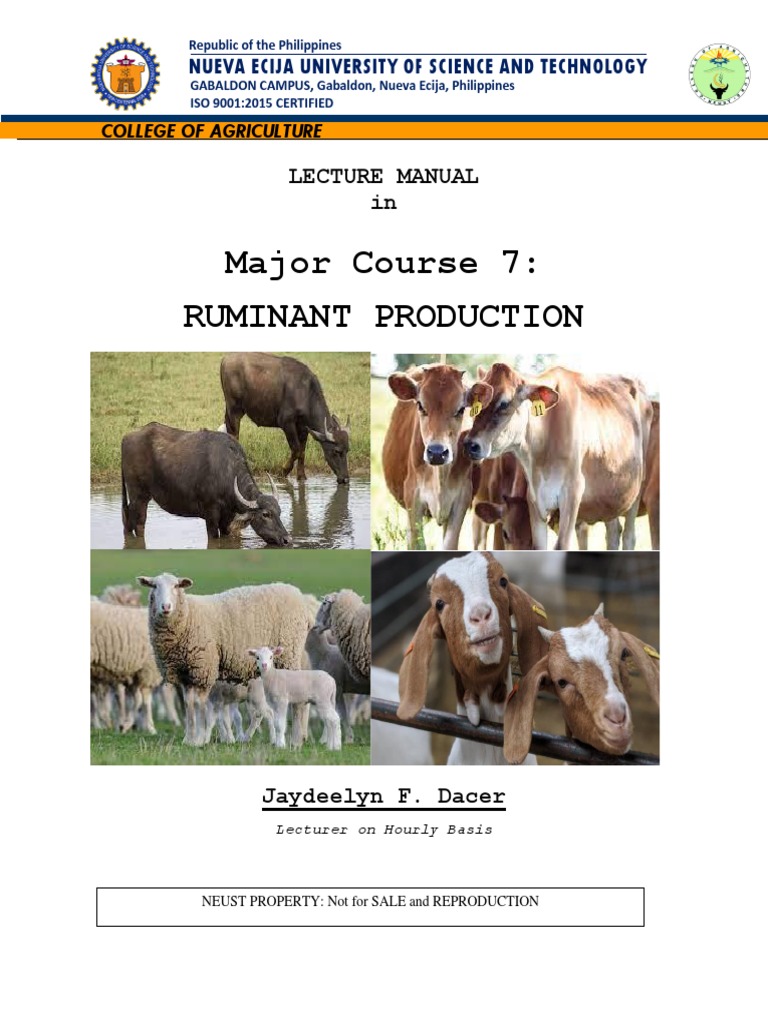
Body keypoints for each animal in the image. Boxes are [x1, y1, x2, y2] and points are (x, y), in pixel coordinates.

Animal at [121, 423, 291, 546]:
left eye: (279, 512)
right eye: (266, 514)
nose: (287, 540)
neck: (227, 472)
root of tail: (127, 437)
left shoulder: (227, 519)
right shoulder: (211, 515)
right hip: (138, 495)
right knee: (137, 524)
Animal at [220, 353, 350, 485]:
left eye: (347, 450)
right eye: (336, 451)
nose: (345, 479)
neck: (305, 393)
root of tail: (226, 359)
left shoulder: (303, 427)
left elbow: (302, 451)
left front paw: (301, 476)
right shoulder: (287, 423)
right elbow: (296, 449)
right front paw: (283, 472)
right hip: (234, 410)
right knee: (234, 435)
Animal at [463, 364, 653, 551]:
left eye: (504, 403)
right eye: (476, 403)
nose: (470, 445)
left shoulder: (572, 493)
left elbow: (561, 546)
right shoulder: (535, 499)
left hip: (635, 491)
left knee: (629, 536)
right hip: (610, 498)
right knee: (613, 533)